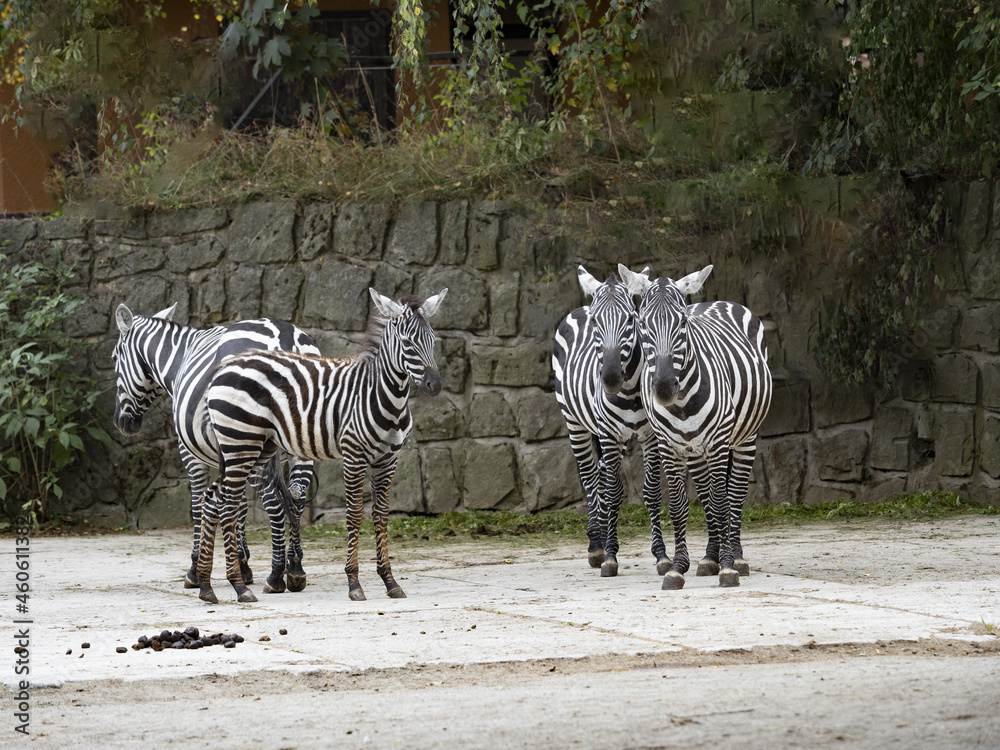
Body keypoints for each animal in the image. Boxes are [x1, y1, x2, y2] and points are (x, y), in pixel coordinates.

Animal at [111, 304, 319, 594]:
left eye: (115, 358)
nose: (122, 423)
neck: (179, 360)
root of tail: (284, 336)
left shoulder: (191, 453)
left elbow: (198, 504)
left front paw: (194, 569)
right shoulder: (231, 452)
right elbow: (238, 505)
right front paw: (243, 564)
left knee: (275, 503)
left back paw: (276, 575)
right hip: (301, 438)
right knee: (297, 497)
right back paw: (296, 569)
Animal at [196, 288, 447, 604]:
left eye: (432, 340)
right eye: (406, 342)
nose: (434, 385)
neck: (381, 396)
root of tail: (223, 368)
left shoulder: (388, 460)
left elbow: (381, 516)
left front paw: (390, 581)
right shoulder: (353, 455)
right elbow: (354, 514)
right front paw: (354, 583)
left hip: (253, 448)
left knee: (212, 501)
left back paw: (206, 587)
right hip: (240, 443)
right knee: (227, 505)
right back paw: (239, 587)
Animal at [553, 266, 670, 578]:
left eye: (631, 318)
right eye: (596, 321)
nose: (610, 378)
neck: (628, 392)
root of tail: (580, 306)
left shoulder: (650, 437)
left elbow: (651, 492)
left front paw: (661, 555)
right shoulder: (608, 434)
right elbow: (614, 492)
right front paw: (610, 557)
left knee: (601, 477)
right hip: (575, 424)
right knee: (591, 479)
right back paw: (597, 546)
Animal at [619, 263, 772, 589]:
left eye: (682, 322)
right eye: (642, 323)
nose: (664, 387)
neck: (681, 404)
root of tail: (717, 301)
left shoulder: (718, 443)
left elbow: (722, 501)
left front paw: (727, 567)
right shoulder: (669, 447)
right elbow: (680, 506)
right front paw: (678, 567)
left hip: (745, 437)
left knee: (734, 492)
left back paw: (736, 557)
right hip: (695, 451)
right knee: (707, 494)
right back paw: (709, 558)